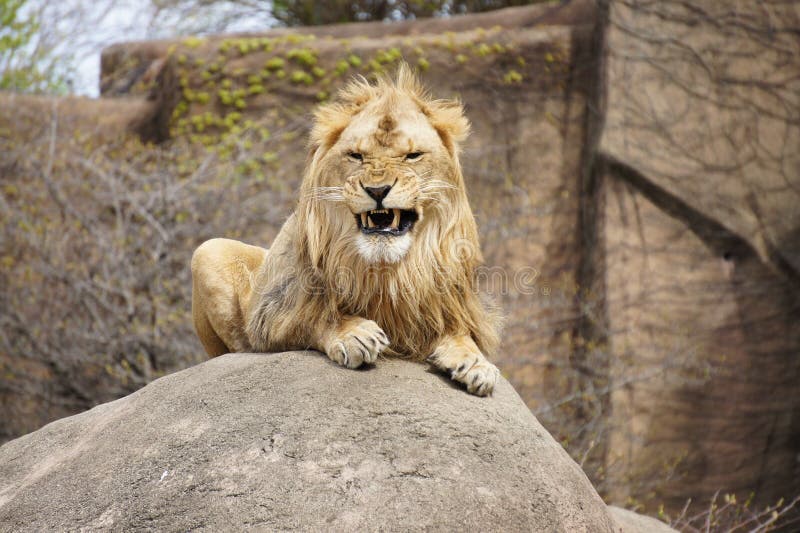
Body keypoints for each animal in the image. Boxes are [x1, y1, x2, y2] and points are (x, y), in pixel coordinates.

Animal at [191, 65, 502, 395]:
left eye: (412, 155)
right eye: (356, 155)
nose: (378, 190)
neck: (385, 270)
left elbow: (461, 332)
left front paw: (475, 363)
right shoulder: (270, 311)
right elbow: (313, 318)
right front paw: (354, 335)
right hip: (209, 250)